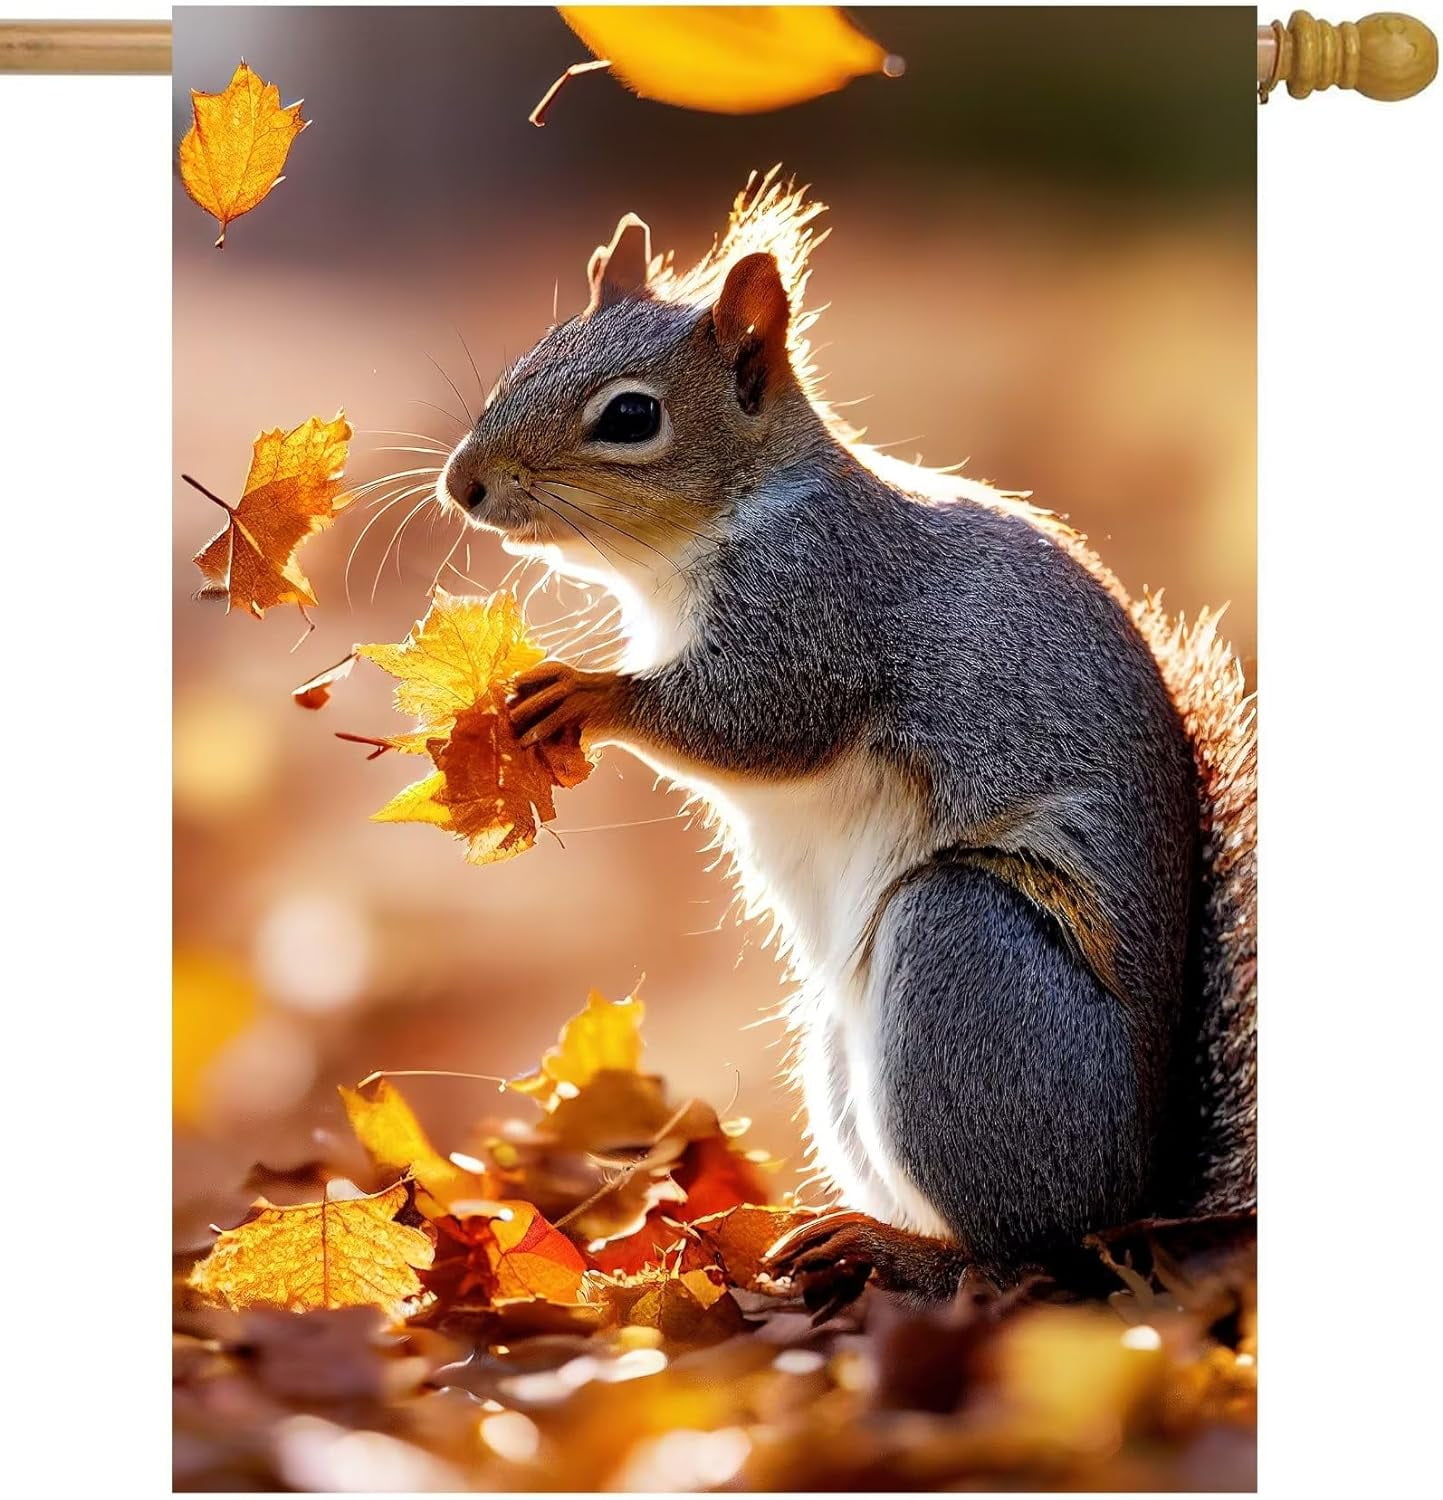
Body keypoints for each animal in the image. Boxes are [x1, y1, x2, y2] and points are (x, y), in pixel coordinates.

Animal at [438, 172, 1257, 1305]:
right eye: (525, 360)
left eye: (631, 417)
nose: (462, 483)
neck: (727, 521)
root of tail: (1137, 1206)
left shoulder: (822, 610)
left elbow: (757, 722)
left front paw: (591, 695)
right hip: (833, 1043)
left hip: (965, 959)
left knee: (1017, 1254)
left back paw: (899, 1251)